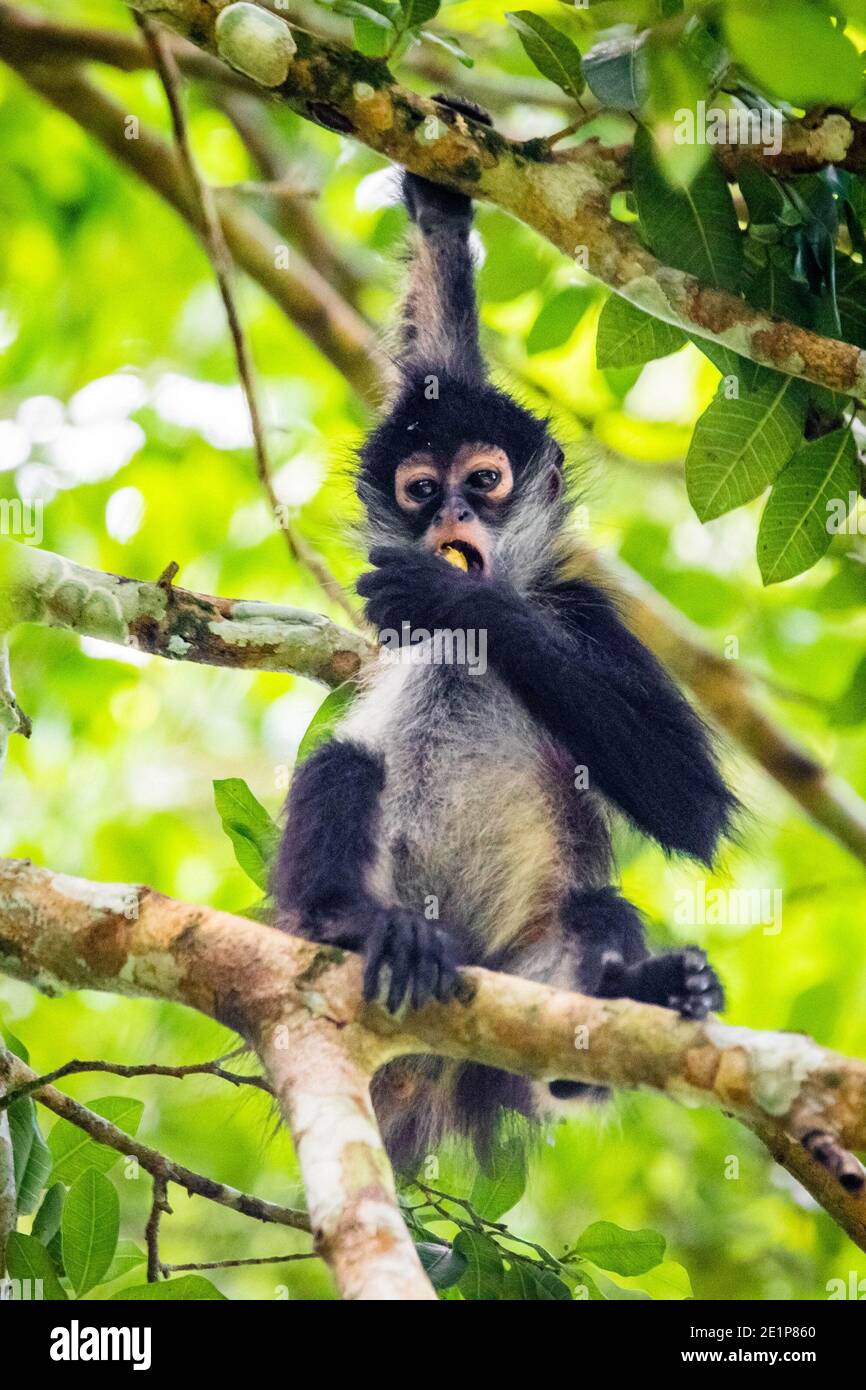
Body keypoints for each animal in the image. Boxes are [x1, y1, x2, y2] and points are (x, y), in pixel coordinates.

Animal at [274, 96, 736, 1173]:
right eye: (419, 491)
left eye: (483, 482)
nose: (451, 519)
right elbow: (436, 350)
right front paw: (441, 210)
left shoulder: (579, 609)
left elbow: (689, 805)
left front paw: (461, 603)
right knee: (347, 762)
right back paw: (355, 926)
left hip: (526, 963)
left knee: (595, 909)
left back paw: (630, 1006)